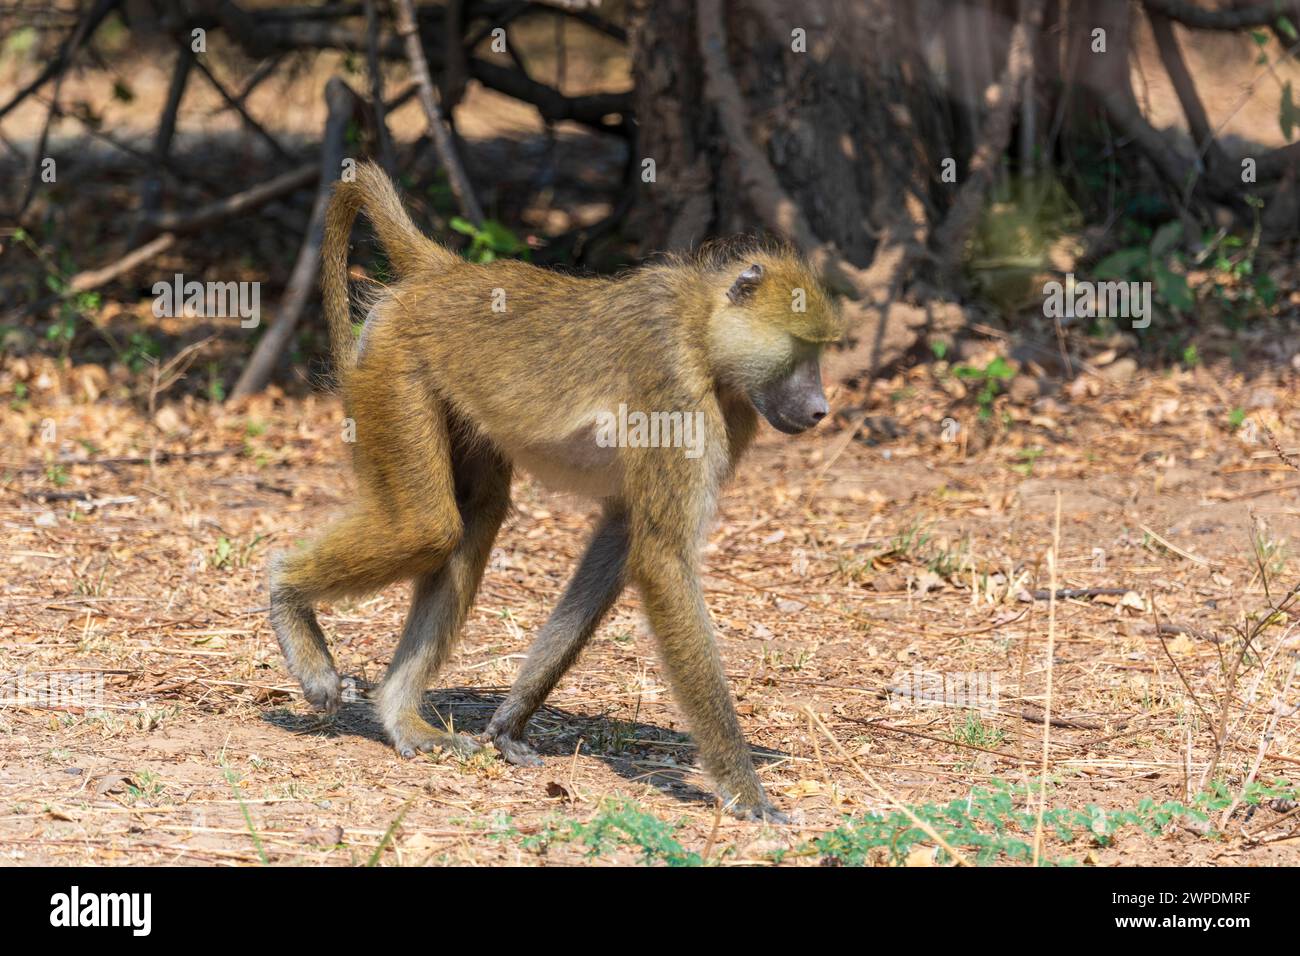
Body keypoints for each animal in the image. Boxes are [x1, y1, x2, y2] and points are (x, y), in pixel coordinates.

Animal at [268, 161, 843, 821]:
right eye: (802, 349)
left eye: (820, 352)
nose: (820, 409)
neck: (703, 330)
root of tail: (446, 272)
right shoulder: (670, 382)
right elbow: (662, 558)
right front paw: (745, 791)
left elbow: (621, 538)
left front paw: (510, 723)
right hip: (394, 365)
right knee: (428, 525)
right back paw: (289, 601)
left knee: (473, 519)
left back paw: (400, 715)